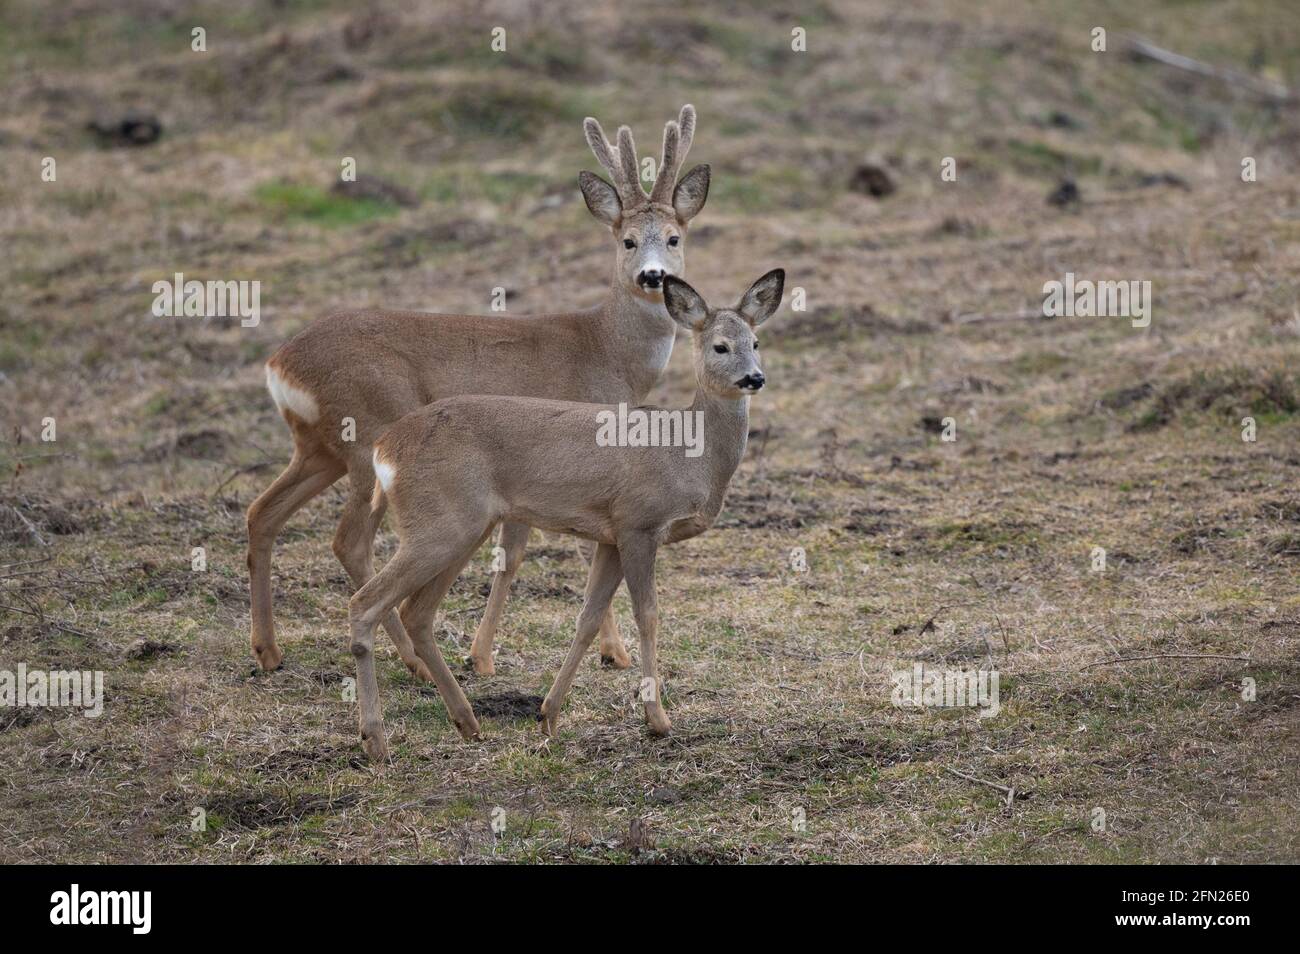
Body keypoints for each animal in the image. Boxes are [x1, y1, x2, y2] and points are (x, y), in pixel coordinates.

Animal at [247, 105, 710, 682]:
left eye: (673, 237)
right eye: (626, 240)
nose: (653, 276)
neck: (605, 351)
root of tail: (279, 363)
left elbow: (517, 553)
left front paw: (487, 652)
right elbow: (549, 552)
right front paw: (606, 651)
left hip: (317, 448)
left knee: (262, 512)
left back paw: (267, 650)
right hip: (366, 429)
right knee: (349, 540)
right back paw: (412, 659)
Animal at [350, 269, 784, 759]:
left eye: (756, 341)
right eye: (719, 346)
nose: (754, 377)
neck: (687, 454)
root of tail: (385, 448)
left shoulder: (610, 535)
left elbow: (588, 619)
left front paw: (548, 716)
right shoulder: (638, 522)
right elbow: (648, 614)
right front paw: (657, 720)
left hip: (462, 527)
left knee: (416, 612)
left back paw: (468, 722)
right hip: (438, 524)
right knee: (365, 603)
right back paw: (376, 740)